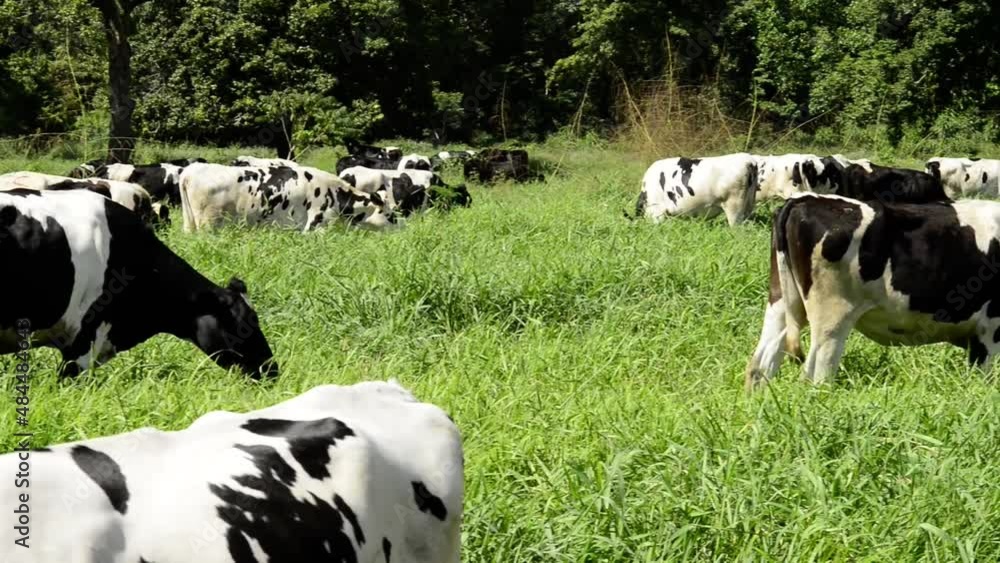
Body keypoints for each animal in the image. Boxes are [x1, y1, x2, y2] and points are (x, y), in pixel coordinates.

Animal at [179, 163, 393, 232]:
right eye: (390, 215)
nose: (400, 231)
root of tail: (191, 169)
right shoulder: (314, 227)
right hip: (208, 224)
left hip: (189, 223)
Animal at [745, 193, 1000, 389]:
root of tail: (803, 199)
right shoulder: (988, 331)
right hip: (831, 320)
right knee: (815, 376)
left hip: (782, 302)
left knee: (760, 364)